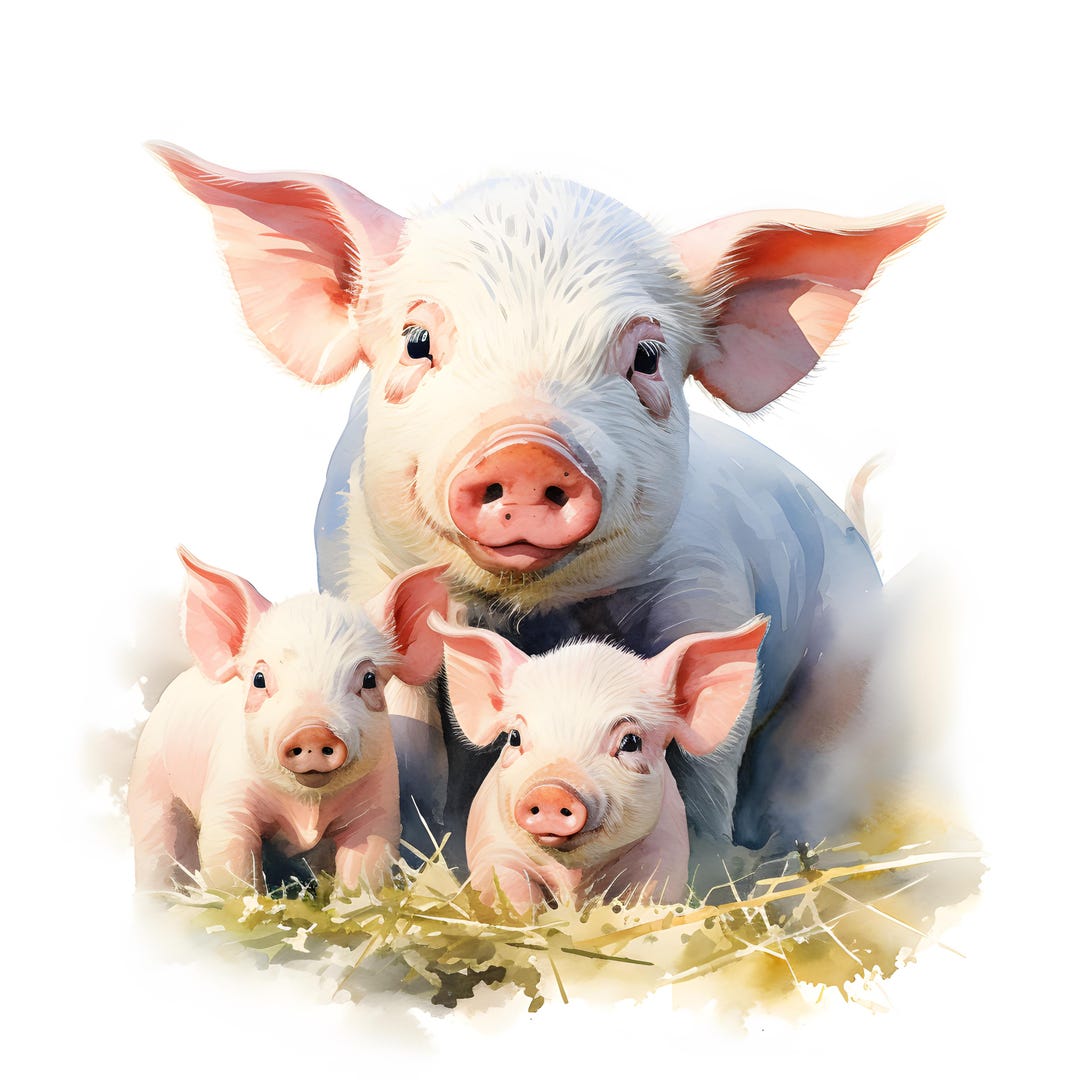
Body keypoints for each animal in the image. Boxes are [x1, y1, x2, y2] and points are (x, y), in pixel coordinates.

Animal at [127, 548, 449, 893]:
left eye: (369, 679)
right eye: (259, 679)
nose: (313, 731)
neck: (306, 808)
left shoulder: (378, 804)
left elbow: (364, 869)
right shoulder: (228, 798)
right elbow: (229, 862)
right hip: (152, 783)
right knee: (159, 847)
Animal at [149, 143, 940, 863]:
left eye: (647, 358)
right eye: (417, 340)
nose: (527, 452)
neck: (533, 612)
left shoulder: (709, 582)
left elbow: (710, 740)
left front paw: (703, 870)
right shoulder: (361, 567)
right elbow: (411, 731)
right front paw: (424, 861)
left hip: (850, 651)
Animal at [433, 613, 769, 910]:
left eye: (630, 742)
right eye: (515, 737)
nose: (552, 790)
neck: (573, 874)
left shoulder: (663, 856)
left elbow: (644, 901)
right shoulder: (495, 850)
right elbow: (513, 894)